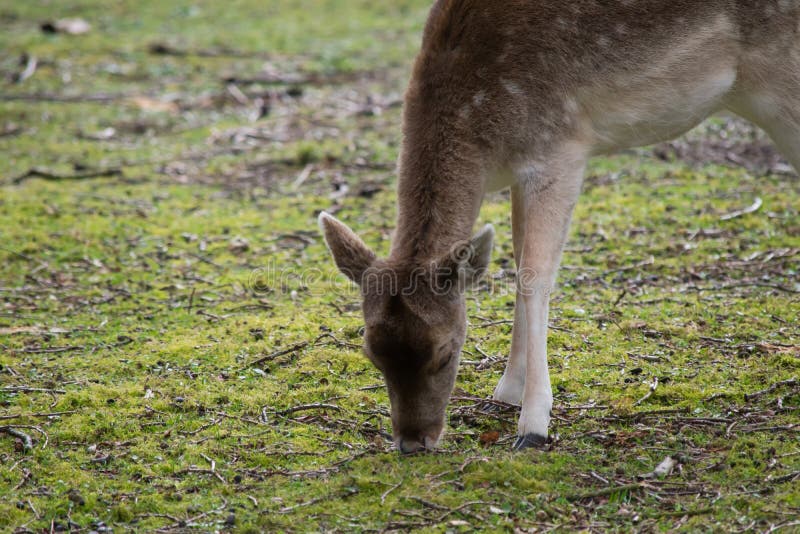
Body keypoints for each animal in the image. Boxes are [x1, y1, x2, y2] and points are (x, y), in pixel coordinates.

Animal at [319, 0, 800, 453]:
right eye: (372, 353)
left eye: (445, 352)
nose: (413, 442)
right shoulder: (520, 171)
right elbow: (516, 265)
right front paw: (506, 392)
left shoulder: (559, 148)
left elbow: (535, 277)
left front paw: (533, 425)